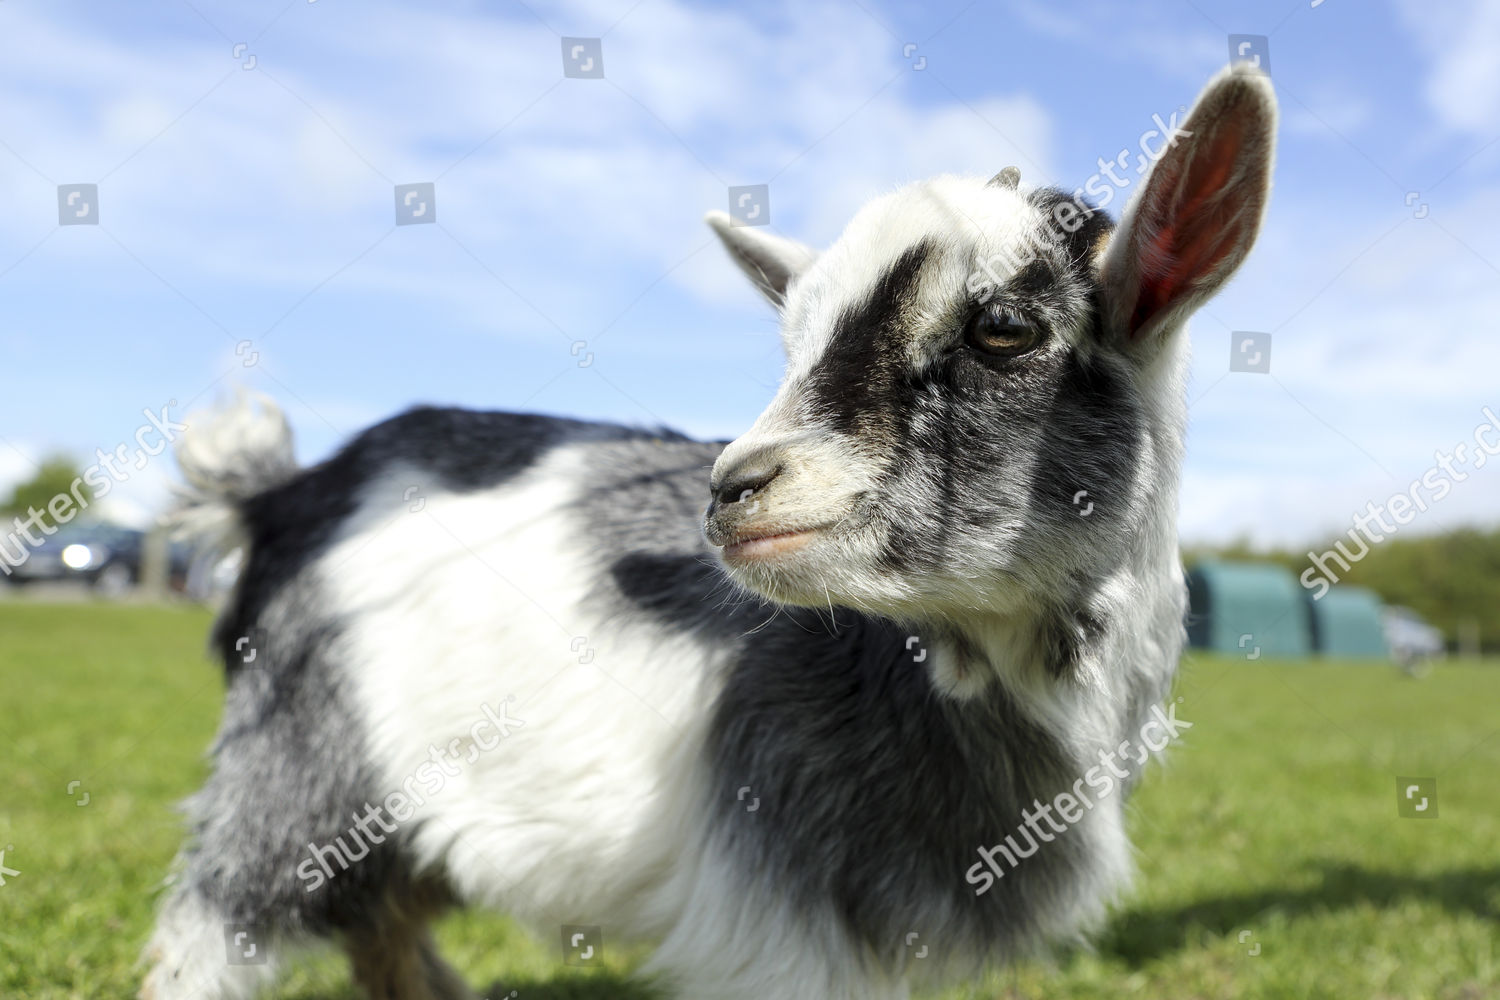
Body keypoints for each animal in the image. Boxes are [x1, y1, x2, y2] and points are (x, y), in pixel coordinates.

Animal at [142, 64, 1275, 1000]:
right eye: (792, 339)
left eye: (1004, 328)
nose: (734, 487)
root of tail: (284, 494)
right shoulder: (790, 924)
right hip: (299, 772)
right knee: (215, 923)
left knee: (381, 928)